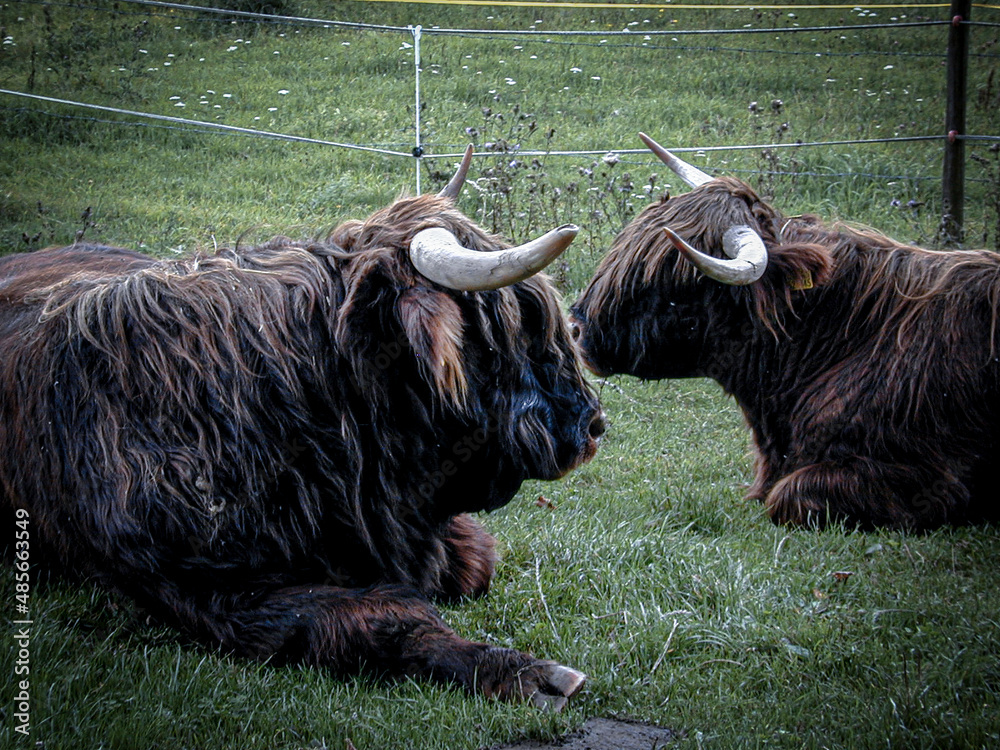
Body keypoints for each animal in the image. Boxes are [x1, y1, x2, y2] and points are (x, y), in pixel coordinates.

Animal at [1, 147, 606, 709]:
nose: (592, 424)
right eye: (507, 329)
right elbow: (379, 618)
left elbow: (478, 561)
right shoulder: (196, 586)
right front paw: (524, 671)